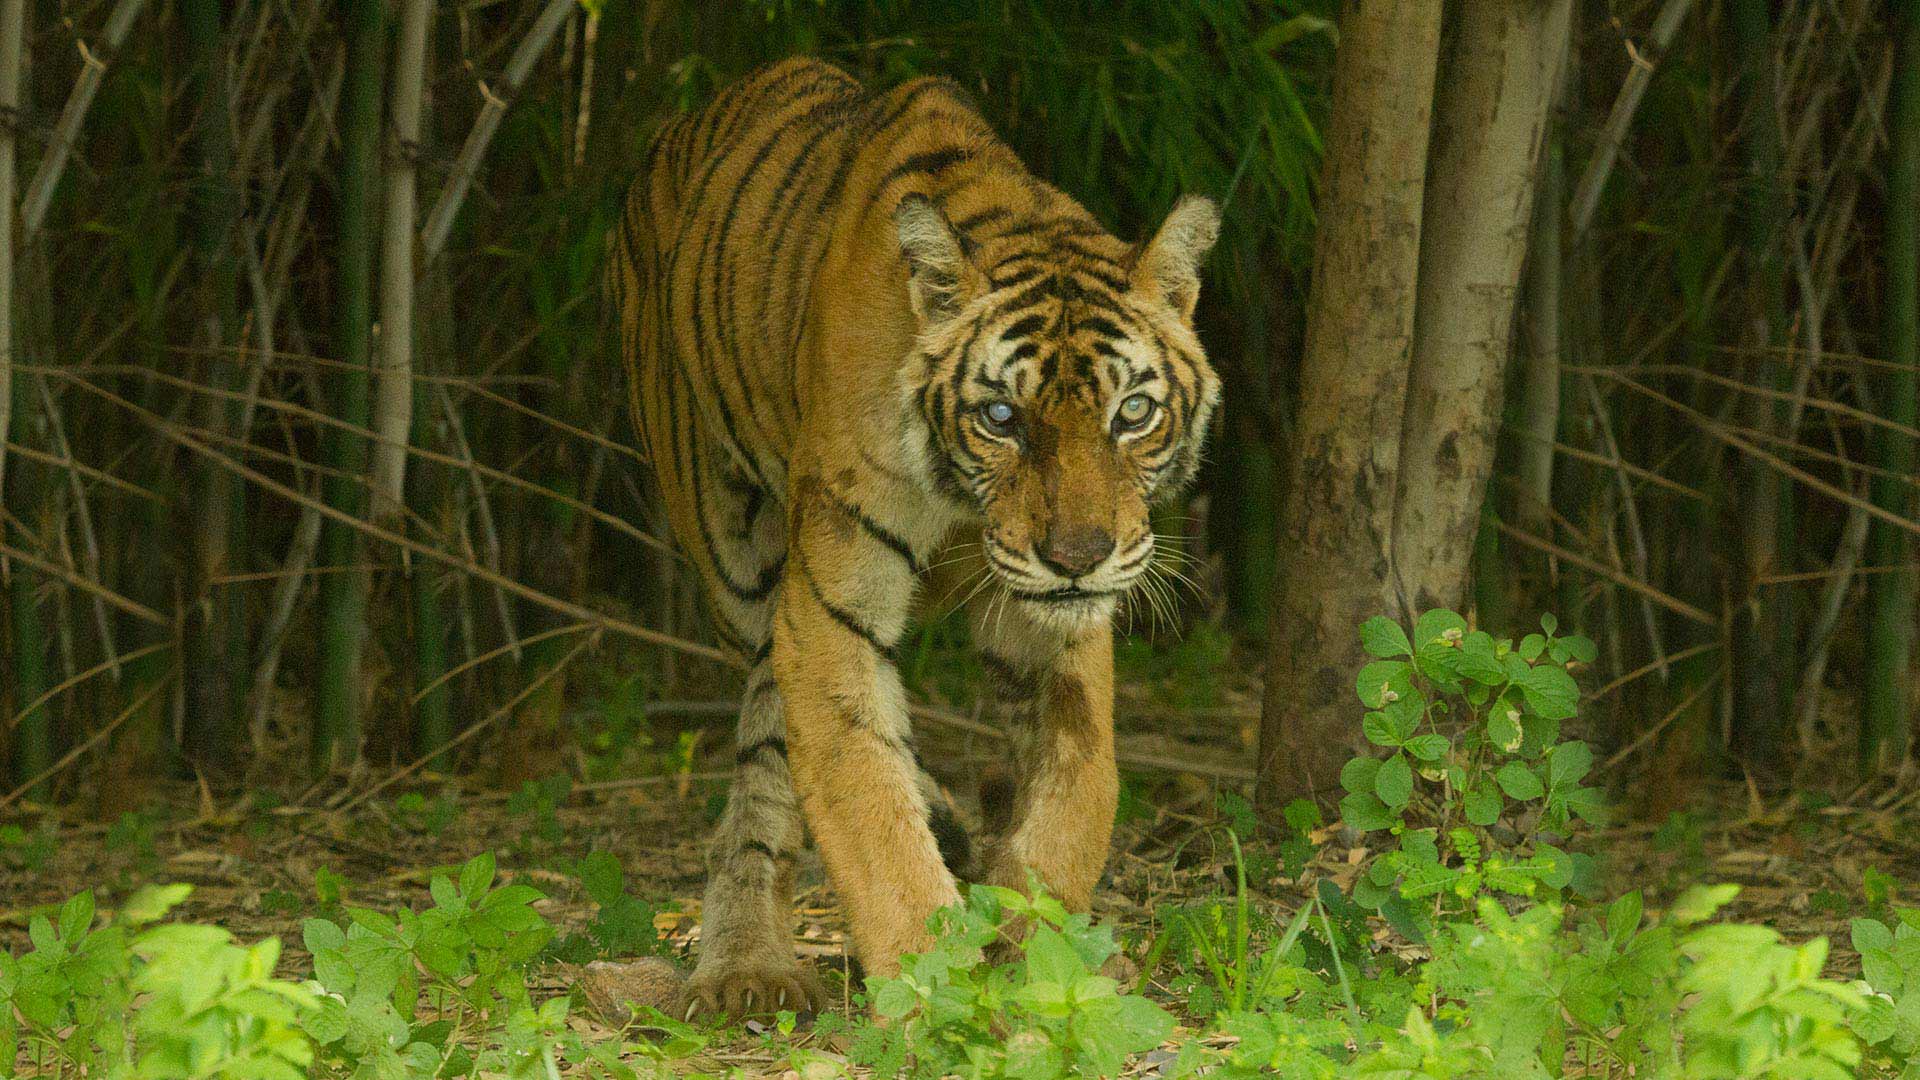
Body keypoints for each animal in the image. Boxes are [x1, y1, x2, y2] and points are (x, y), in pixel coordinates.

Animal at [606, 56, 1220, 1016]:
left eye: (1132, 413)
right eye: (1002, 418)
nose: (1076, 559)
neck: (963, 501)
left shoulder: (1057, 624)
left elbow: (1081, 787)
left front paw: (1037, 944)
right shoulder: (829, 607)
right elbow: (867, 803)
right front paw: (939, 990)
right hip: (737, 556)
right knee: (765, 756)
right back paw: (749, 962)